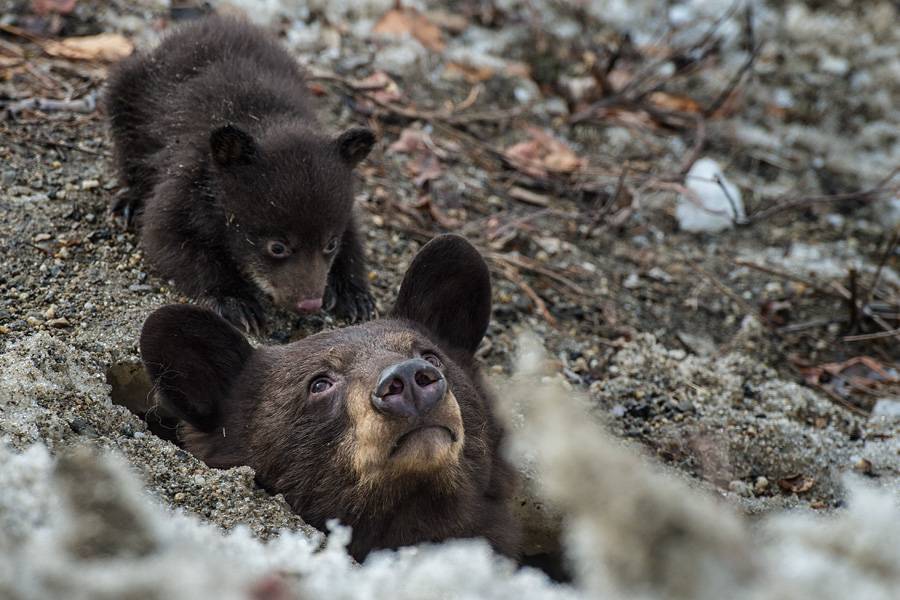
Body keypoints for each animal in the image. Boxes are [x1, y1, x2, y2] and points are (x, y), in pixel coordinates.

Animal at [104, 15, 376, 331]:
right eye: (277, 247)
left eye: (330, 244)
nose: (309, 303)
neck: (268, 119)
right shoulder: (189, 179)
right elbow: (165, 235)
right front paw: (237, 302)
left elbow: (353, 232)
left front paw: (355, 295)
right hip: (130, 94)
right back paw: (130, 201)